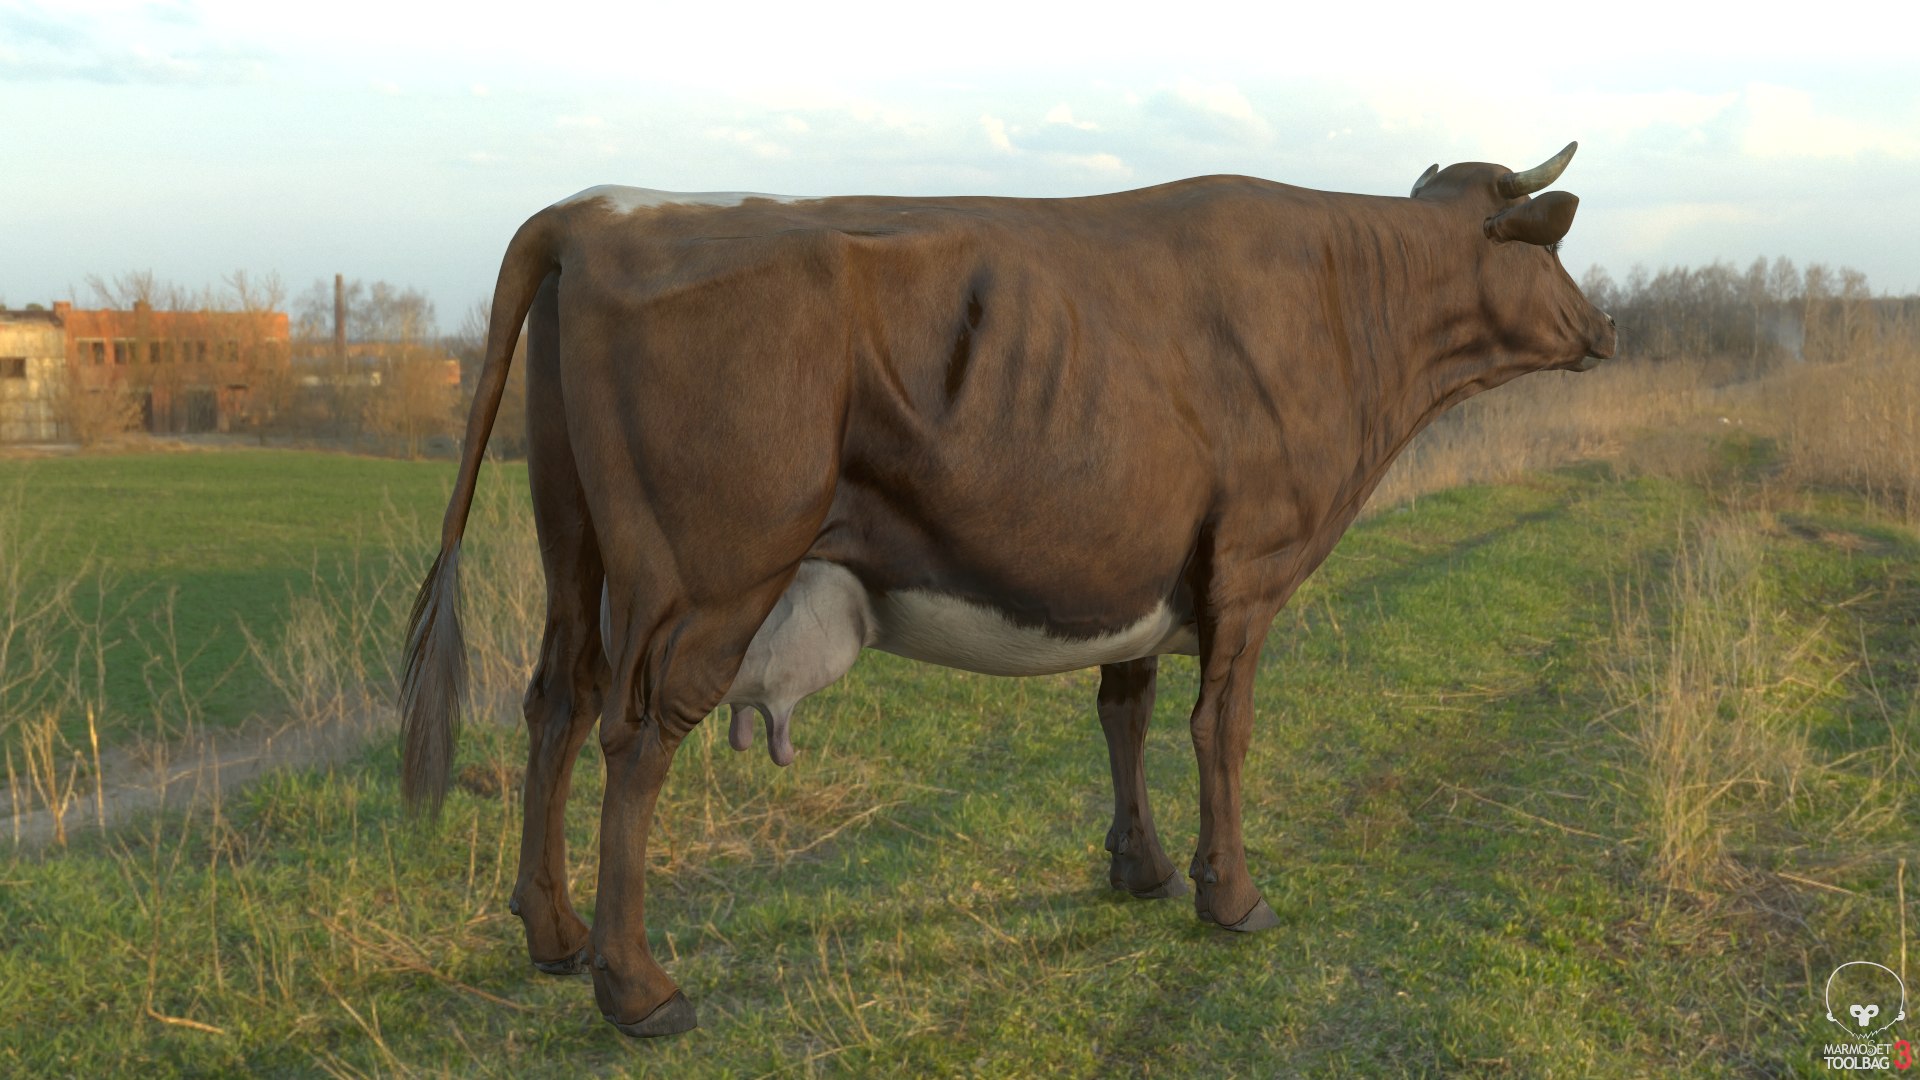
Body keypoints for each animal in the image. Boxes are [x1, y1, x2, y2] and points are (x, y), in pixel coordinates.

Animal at [401, 142, 1615, 1038]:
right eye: (1553, 248)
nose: (1606, 326)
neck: (1345, 303)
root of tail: (595, 211)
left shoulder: (1147, 563)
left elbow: (1124, 711)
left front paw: (1142, 868)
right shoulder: (1252, 565)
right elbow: (1220, 729)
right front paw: (1232, 898)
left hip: (575, 544)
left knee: (557, 701)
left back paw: (554, 937)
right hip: (705, 575)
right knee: (635, 737)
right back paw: (637, 988)